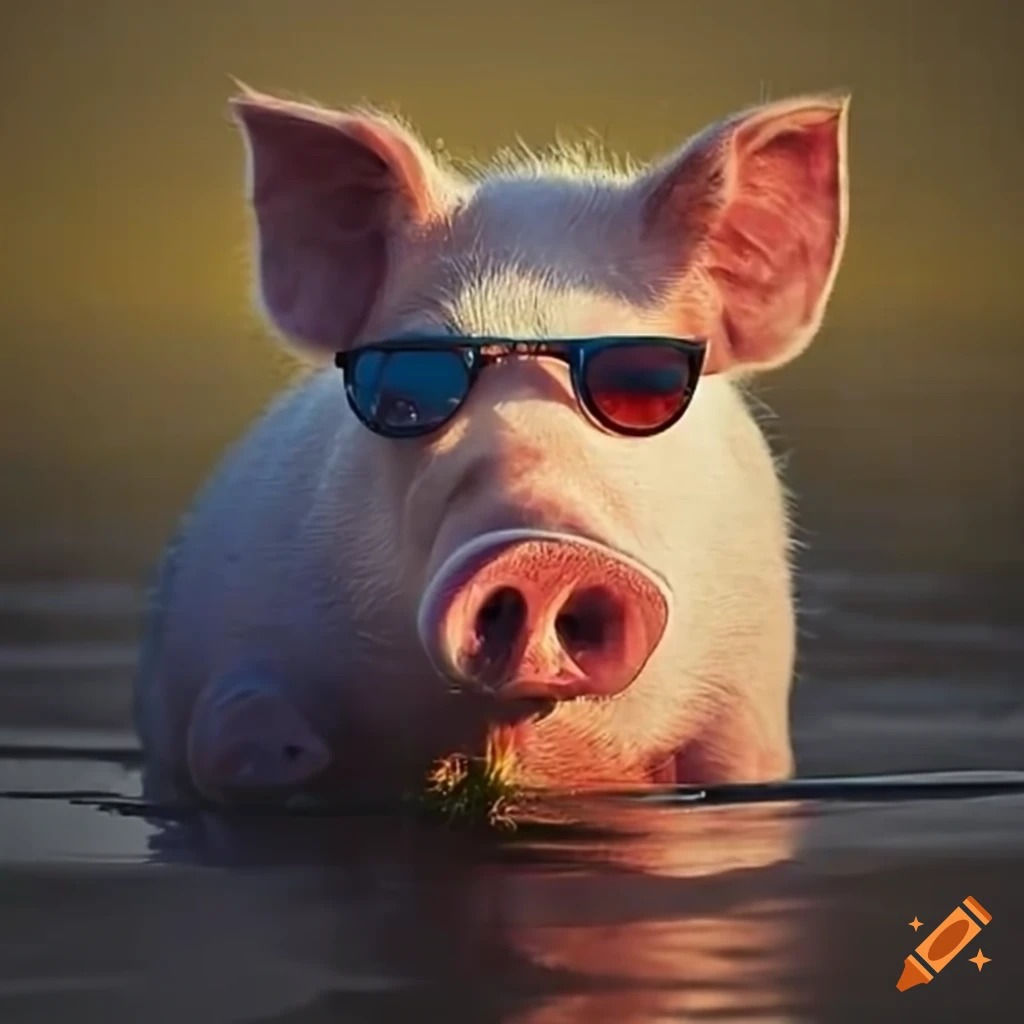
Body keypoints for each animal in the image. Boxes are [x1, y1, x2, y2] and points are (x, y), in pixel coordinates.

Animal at [134, 85, 850, 805]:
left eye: (644, 386)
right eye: (403, 391)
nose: (542, 553)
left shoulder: (746, 700)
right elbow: (229, 730)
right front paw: (288, 754)